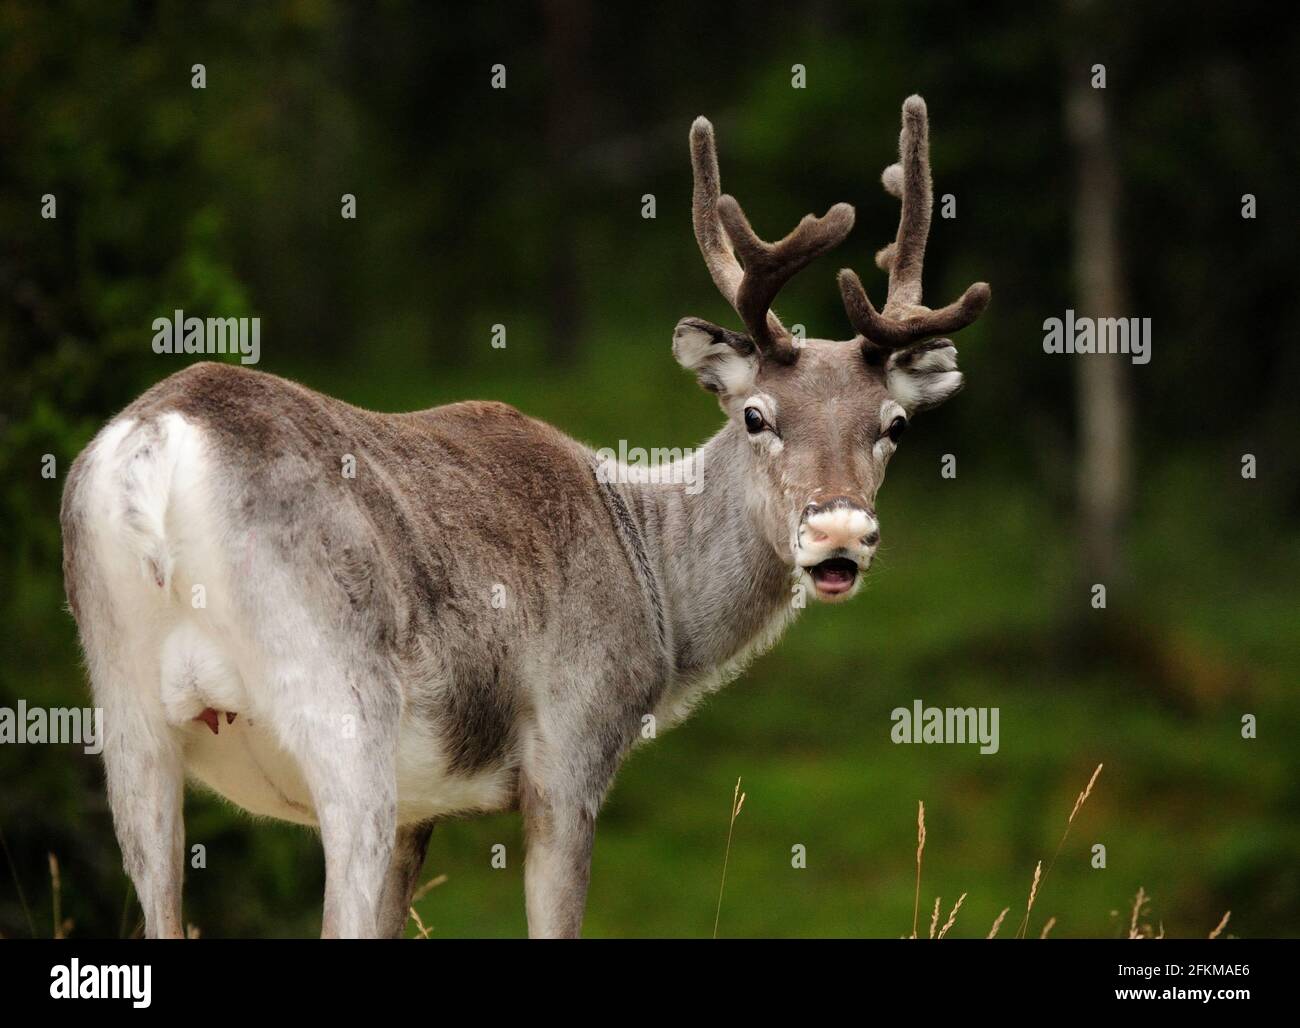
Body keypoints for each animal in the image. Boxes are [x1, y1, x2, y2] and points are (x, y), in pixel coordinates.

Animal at [60, 96, 989, 939]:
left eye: (894, 426)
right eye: (757, 416)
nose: (839, 533)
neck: (656, 586)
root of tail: (156, 443)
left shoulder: (422, 807)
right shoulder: (570, 747)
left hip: (127, 715)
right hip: (339, 702)